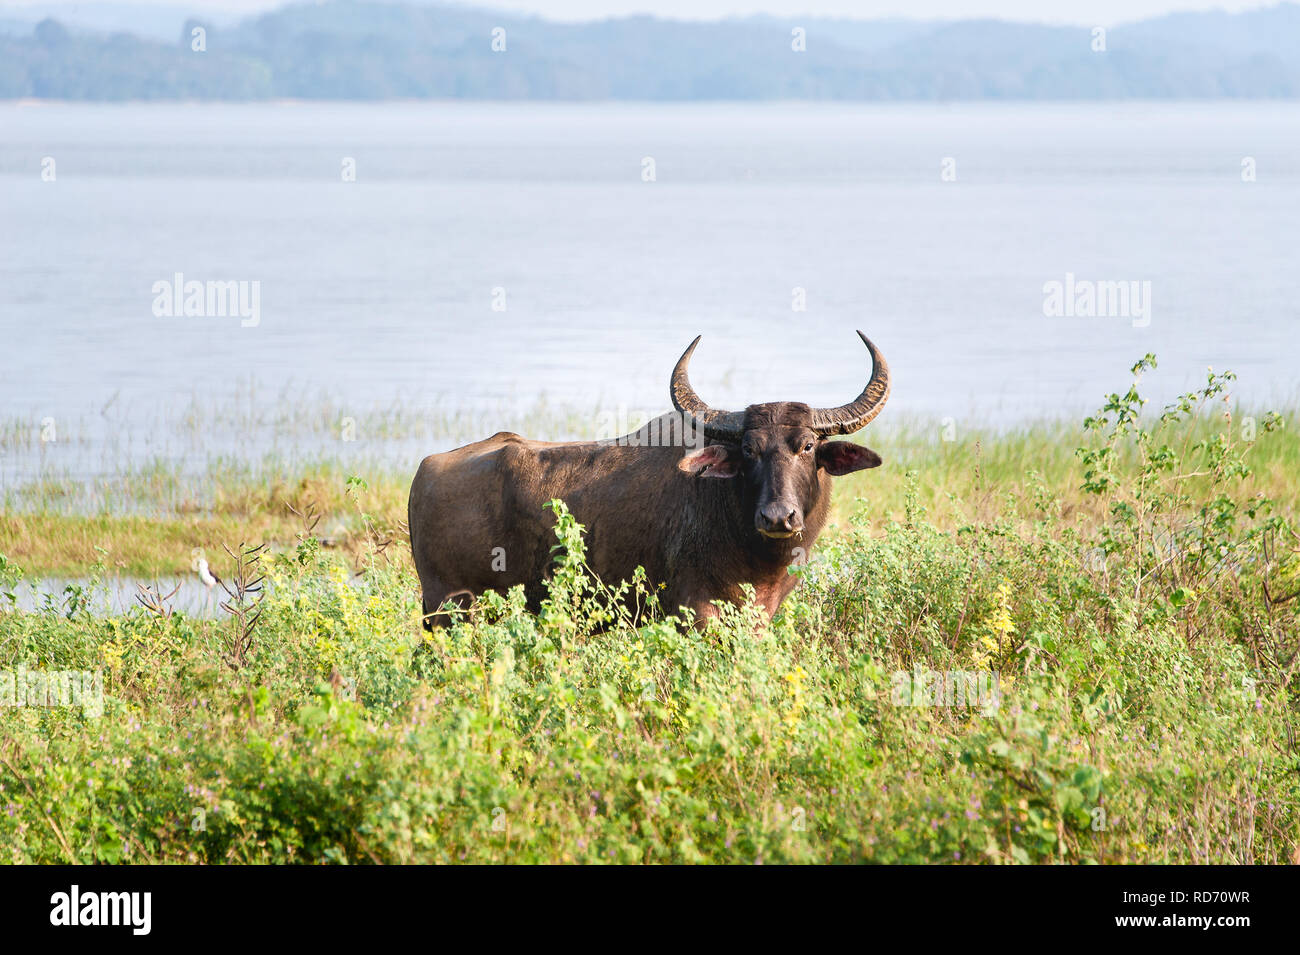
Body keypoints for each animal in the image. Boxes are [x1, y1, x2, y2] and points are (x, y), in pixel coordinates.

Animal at [408, 331, 890, 628]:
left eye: (807, 446)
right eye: (749, 450)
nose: (777, 517)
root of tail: (426, 468)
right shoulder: (695, 613)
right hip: (449, 609)